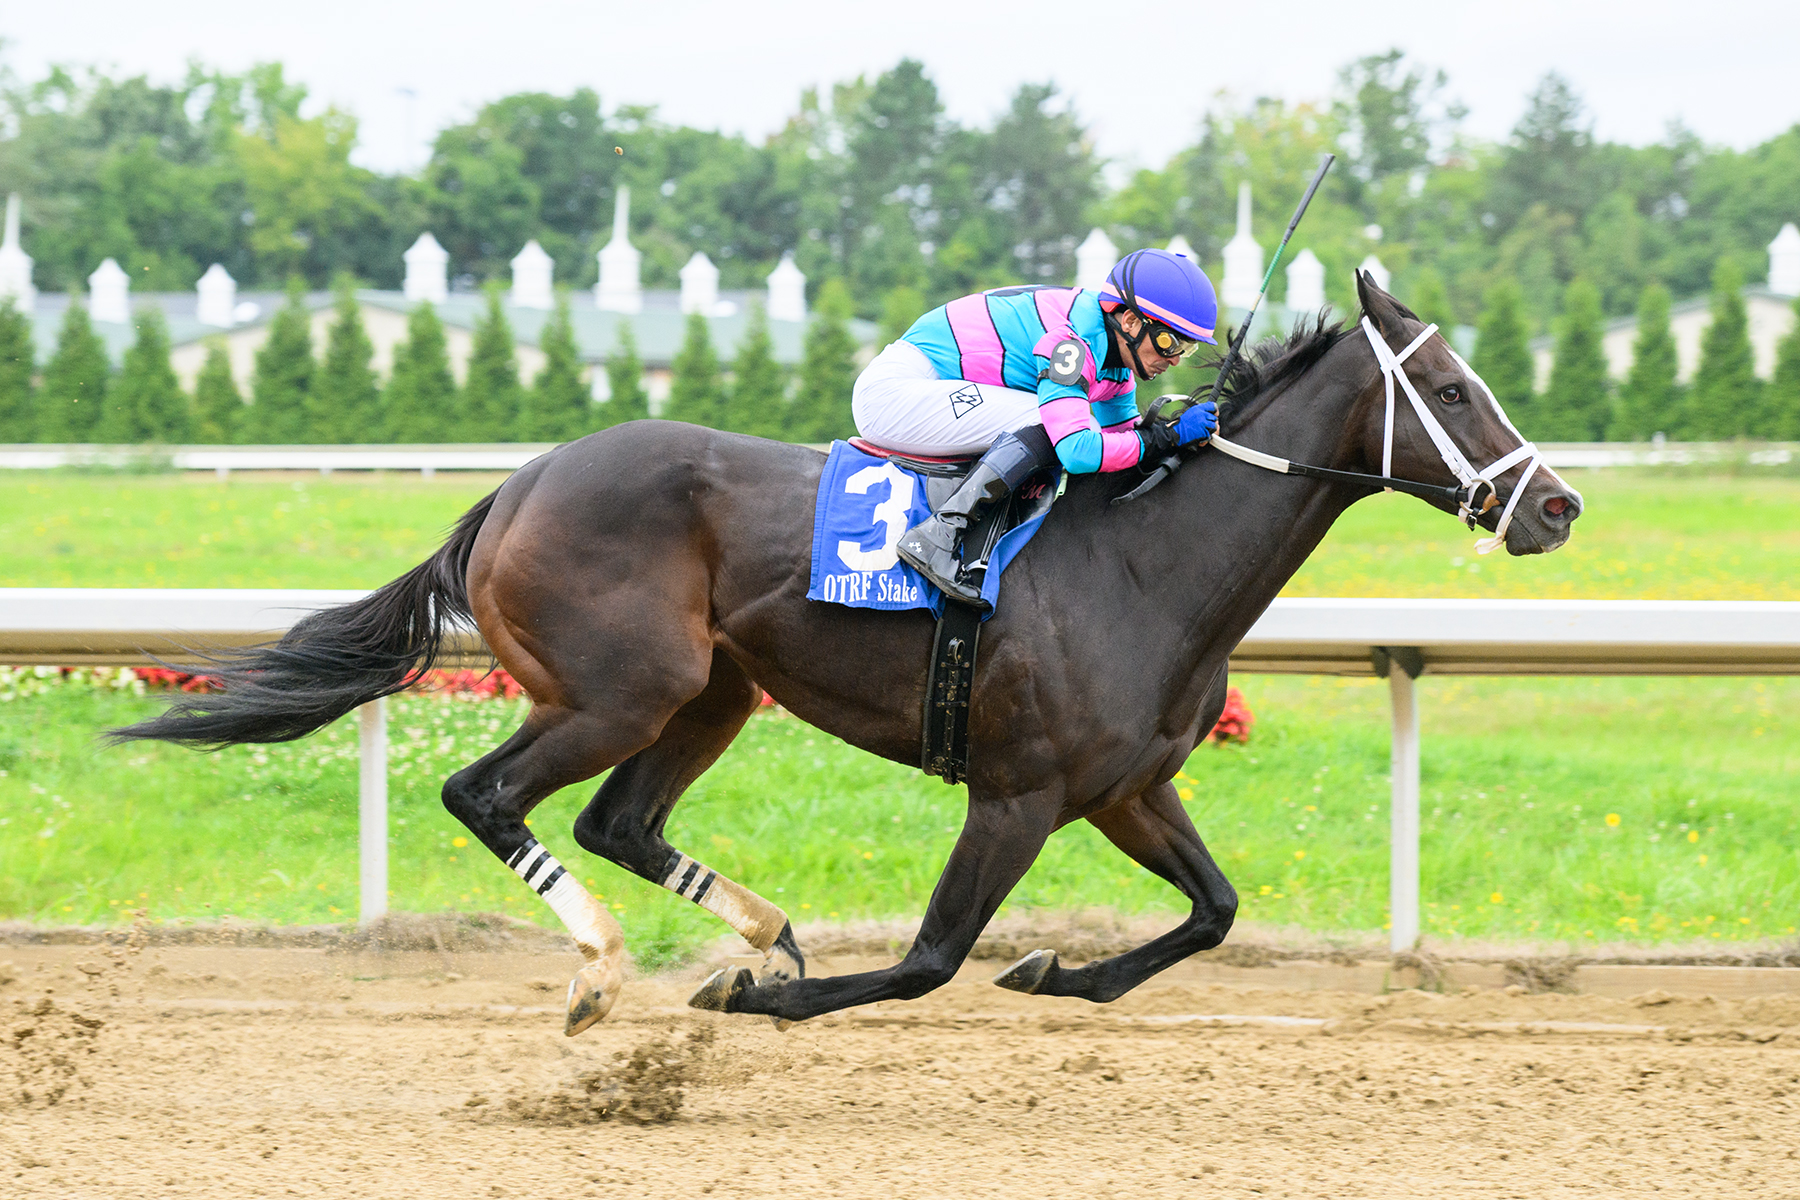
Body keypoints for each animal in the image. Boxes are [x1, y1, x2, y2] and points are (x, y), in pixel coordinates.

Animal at [115, 273, 1583, 1033]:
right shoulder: (1020, 793)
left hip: (715, 689)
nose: (1557, 504)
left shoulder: (1126, 788)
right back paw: (608, 967)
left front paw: (1060, 969)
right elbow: (932, 957)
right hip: (621, 686)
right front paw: (753, 1001)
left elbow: (1215, 911)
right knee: (487, 795)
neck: (1142, 561)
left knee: (616, 822)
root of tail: (519, 486)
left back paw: (762, 932)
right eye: (1451, 390)